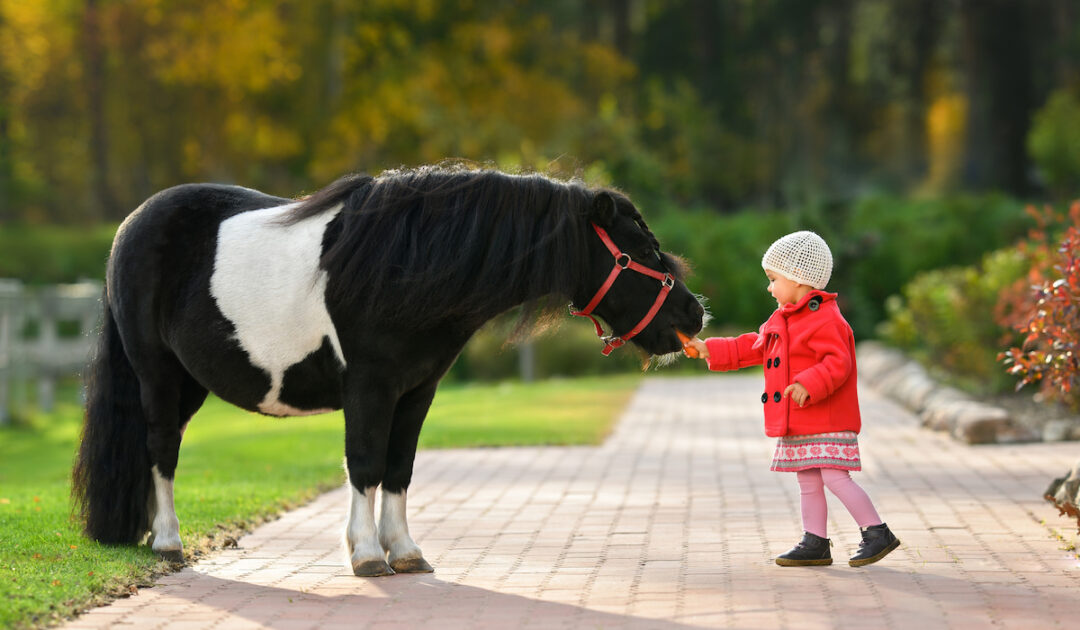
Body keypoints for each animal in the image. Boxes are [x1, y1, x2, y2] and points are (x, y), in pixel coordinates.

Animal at [71, 165, 705, 576]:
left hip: (190, 384)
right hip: (156, 374)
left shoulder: (417, 390)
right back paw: (168, 542)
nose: (693, 313)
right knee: (161, 448)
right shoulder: (369, 388)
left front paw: (405, 552)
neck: (406, 264)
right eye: (637, 249)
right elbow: (366, 463)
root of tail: (129, 227)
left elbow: (399, 467)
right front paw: (367, 556)